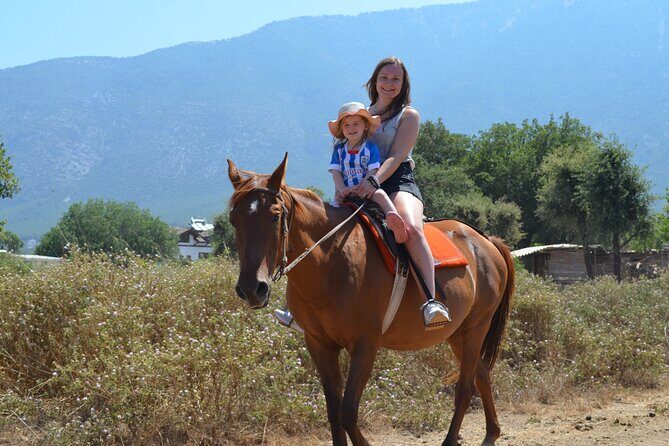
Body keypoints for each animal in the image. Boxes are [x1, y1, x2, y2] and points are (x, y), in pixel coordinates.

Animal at [227, 154, 514, 446]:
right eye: (233, 220)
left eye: (275, 217)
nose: (251, 288)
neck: (331, 262)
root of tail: (486, 241)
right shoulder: (319, 345)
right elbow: (334, 411)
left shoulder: (365, 345)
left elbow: (347, 413)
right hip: (458, 333)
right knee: (482, 375)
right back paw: (492, 433)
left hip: (476, 326)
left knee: (466, 388)